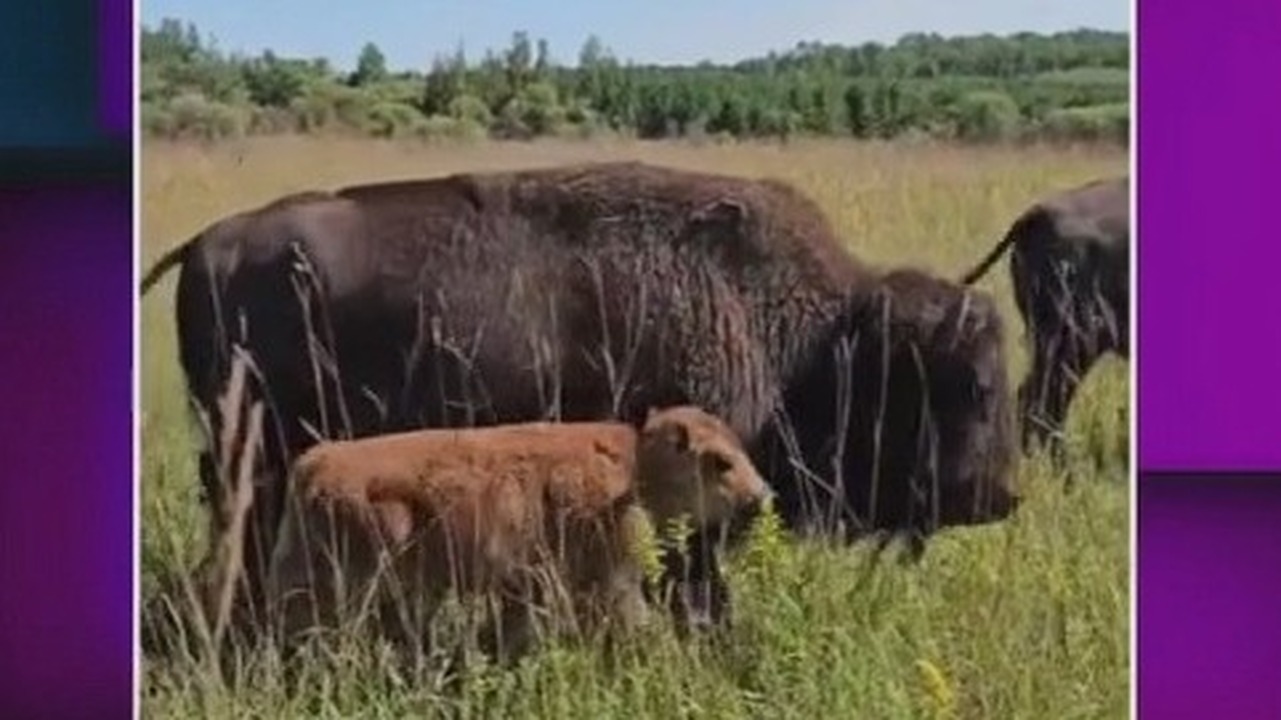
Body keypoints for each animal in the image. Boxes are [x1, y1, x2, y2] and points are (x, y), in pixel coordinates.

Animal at [266, 405, 773, 664]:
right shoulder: (610, 578)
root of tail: (312, 465)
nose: (761, 497)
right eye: (721, 461)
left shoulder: (524, 588)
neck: (638, 469)